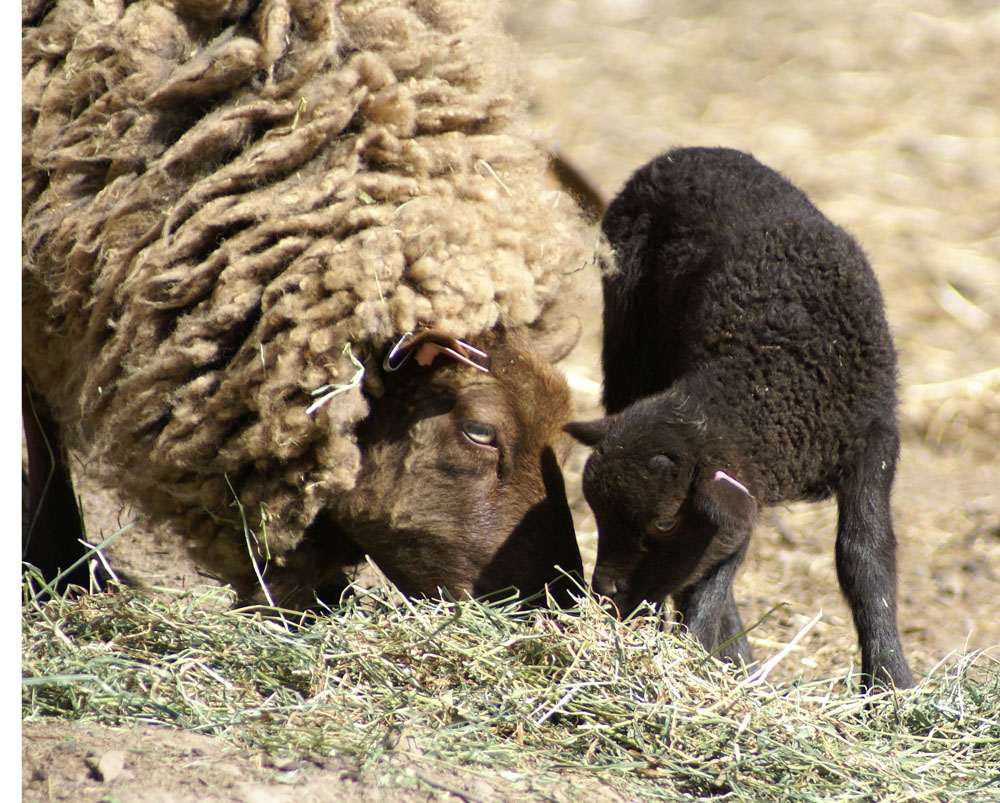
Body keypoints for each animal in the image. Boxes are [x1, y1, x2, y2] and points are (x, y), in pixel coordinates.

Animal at [566, 146, 914, 689]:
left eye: (663, 523)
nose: (606, 598)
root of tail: (678, 153)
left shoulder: (872, 442)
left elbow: (865, 556)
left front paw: (890, 681)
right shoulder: (740, 476)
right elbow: (717, 565)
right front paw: (702, 660)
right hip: (626, 339)